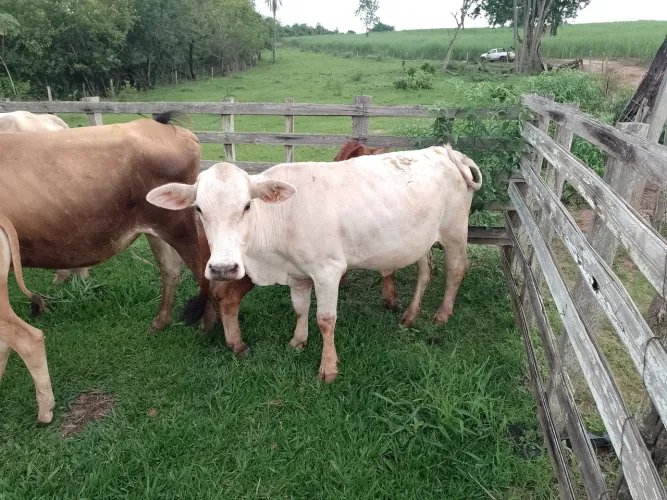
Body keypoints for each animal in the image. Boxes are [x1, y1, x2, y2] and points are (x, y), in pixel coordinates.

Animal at [147, 145, 482, 382]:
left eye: (246, 205)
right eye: (199, 209)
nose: (222, 269)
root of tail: (447, 151)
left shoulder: (328, 271)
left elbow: (325, 319)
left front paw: (328, 368)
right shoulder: (298, 273)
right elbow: (299, 307)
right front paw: (298, 341)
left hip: (454, 232)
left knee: (456, 269)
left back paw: (442, 314)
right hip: (419, 241)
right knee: (426, 271)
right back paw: (410, 315)